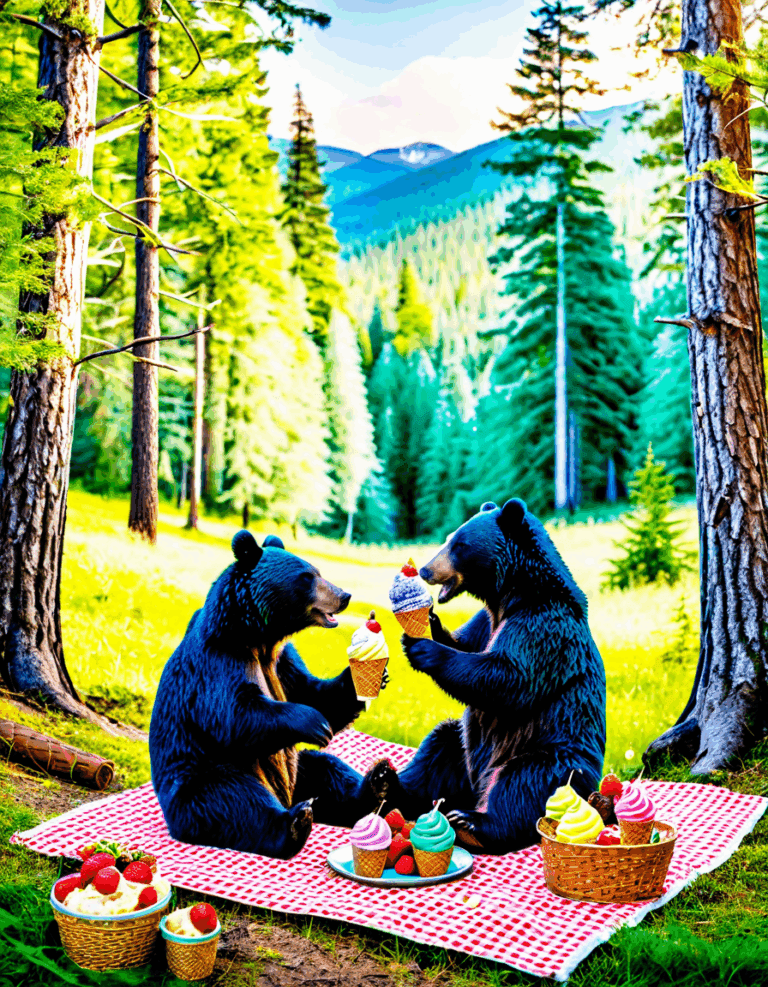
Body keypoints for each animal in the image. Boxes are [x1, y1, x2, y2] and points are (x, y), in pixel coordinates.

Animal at [149, 530, 396, 859]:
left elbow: (315, 693)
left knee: (330, 772)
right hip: (203, 773)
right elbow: (234, 715)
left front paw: (369, 678)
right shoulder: (218, 662)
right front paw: (314, 723)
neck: (259, 639)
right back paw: (295, 822)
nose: (344, 595)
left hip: (301, 771)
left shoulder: (283, 663)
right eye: (307, 577)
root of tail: (286, 796)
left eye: (318, 571)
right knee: (233, 799)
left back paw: (376, 784)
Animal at [390, 498, 606, 854]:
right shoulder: (484, 623)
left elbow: (506, 678)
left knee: (524, 782)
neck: (511, 597)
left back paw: (473, 822)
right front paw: (427, 624)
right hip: (462, 754)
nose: (425, 570)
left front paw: (424, 647)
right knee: (438, 748)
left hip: (557, 754)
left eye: (459, 544)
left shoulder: (542, 628)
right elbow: (465, 643)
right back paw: (389, 784)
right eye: (449, 538)